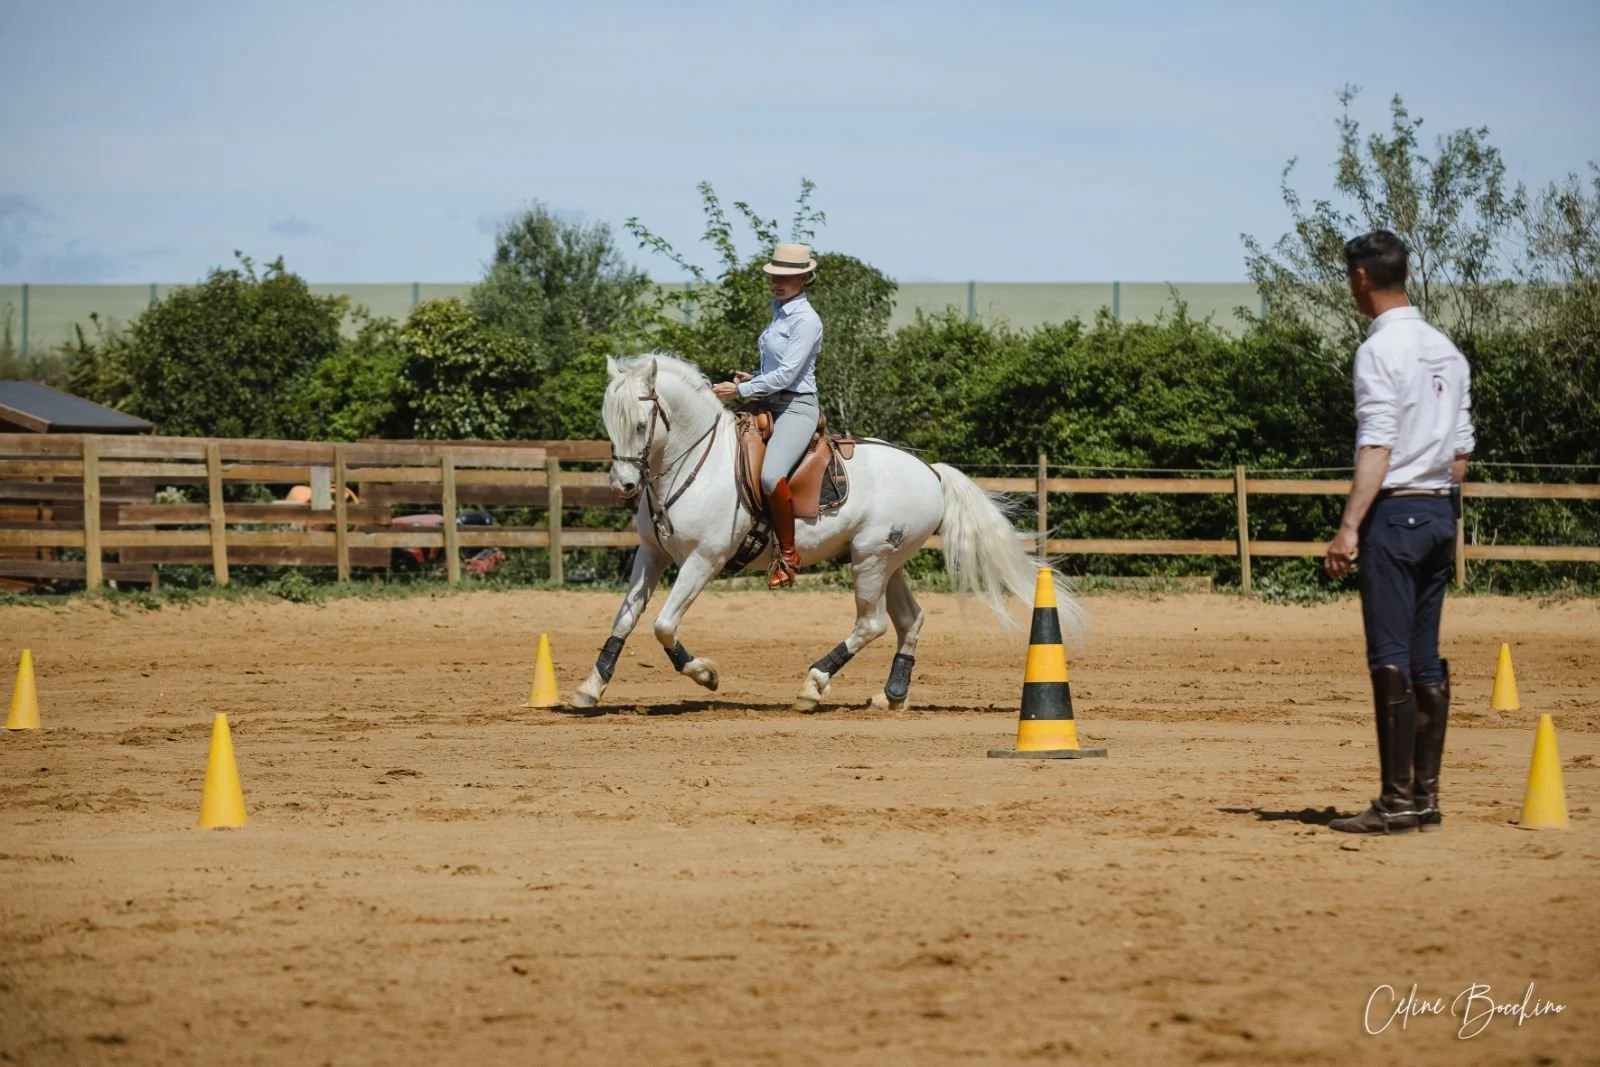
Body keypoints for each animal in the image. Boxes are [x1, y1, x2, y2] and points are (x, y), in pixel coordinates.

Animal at [570, 351, 1082, 711]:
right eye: (608, 422)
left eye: (641, 424)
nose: (624, 485)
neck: (696, 461)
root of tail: (931, 472)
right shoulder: (651, 555)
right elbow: (625, 619)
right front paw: (591, 687)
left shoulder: (703, 560)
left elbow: (662, 625)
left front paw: (705, 674)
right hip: (886, 561)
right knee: (909, 620)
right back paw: (890, 695)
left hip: (870, 560)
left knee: (871, 623)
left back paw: (814, 684)